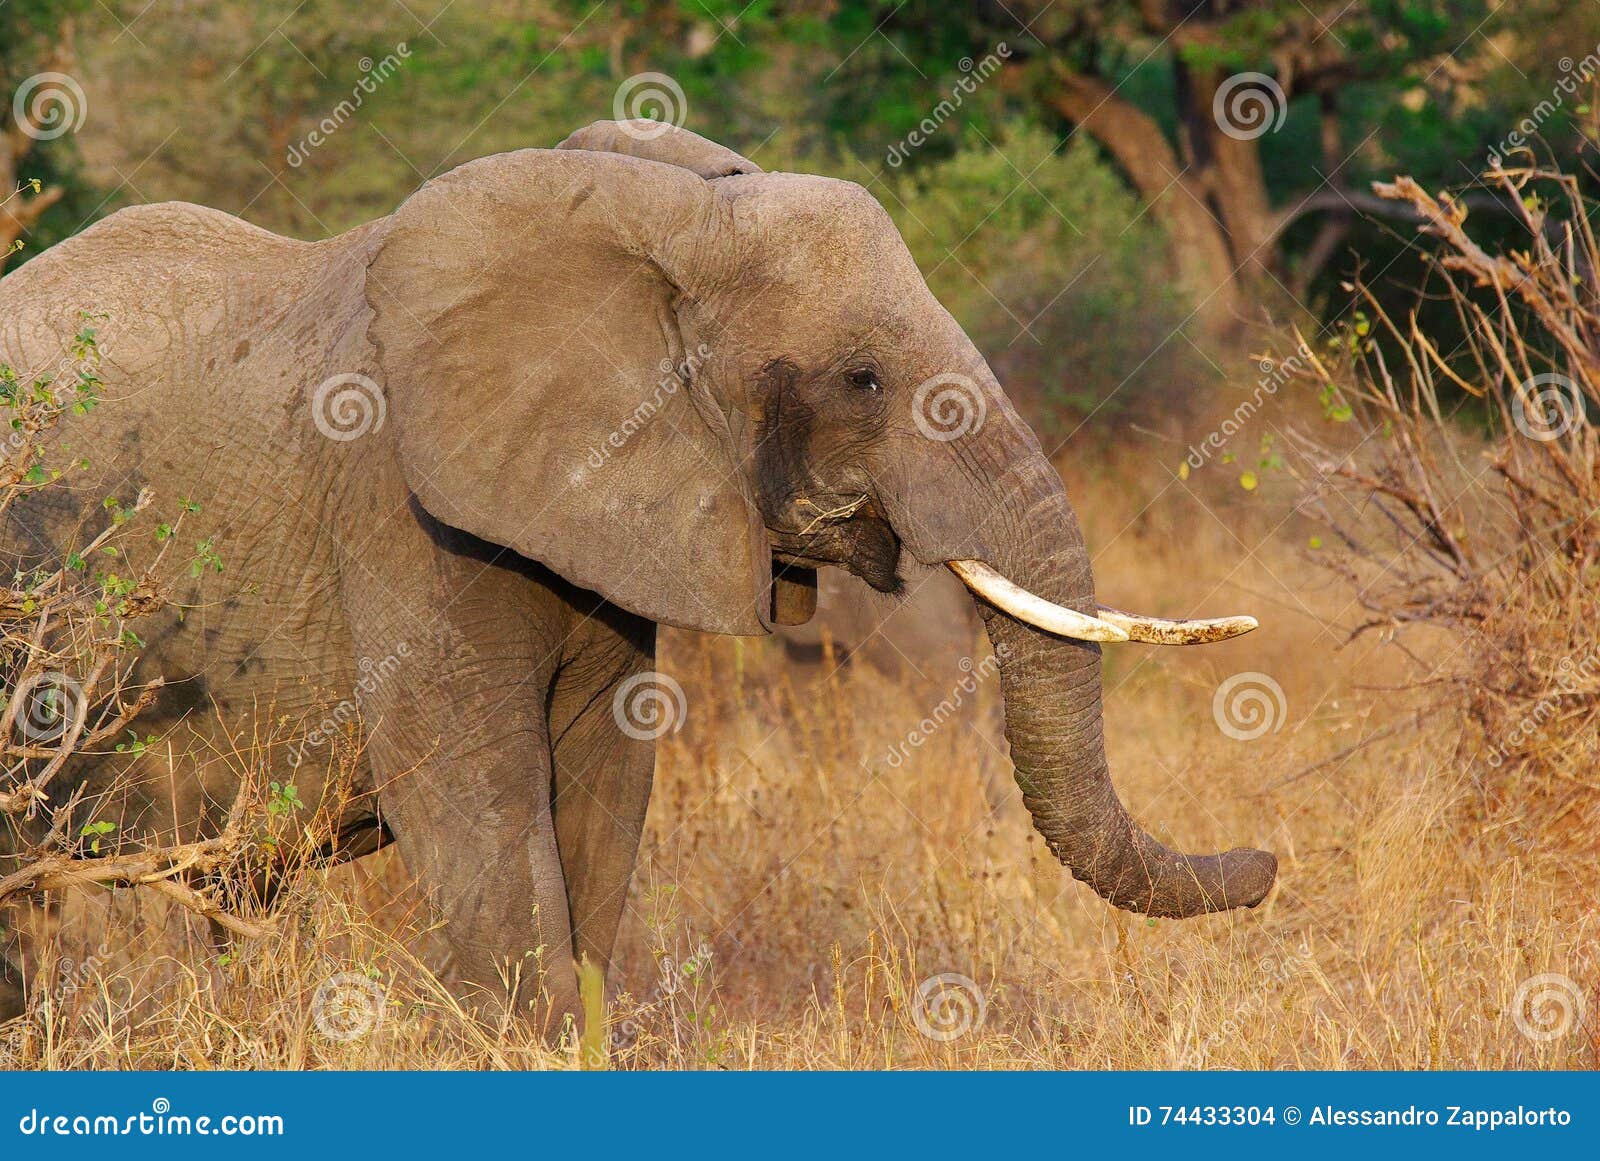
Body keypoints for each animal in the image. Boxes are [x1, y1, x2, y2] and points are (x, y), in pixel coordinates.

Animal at [0, 119, 1276, 1030]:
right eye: (863, 379)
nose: (1269, 860)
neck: (652, 215)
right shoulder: (397, 501)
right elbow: (471, 793)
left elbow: (601, 786)